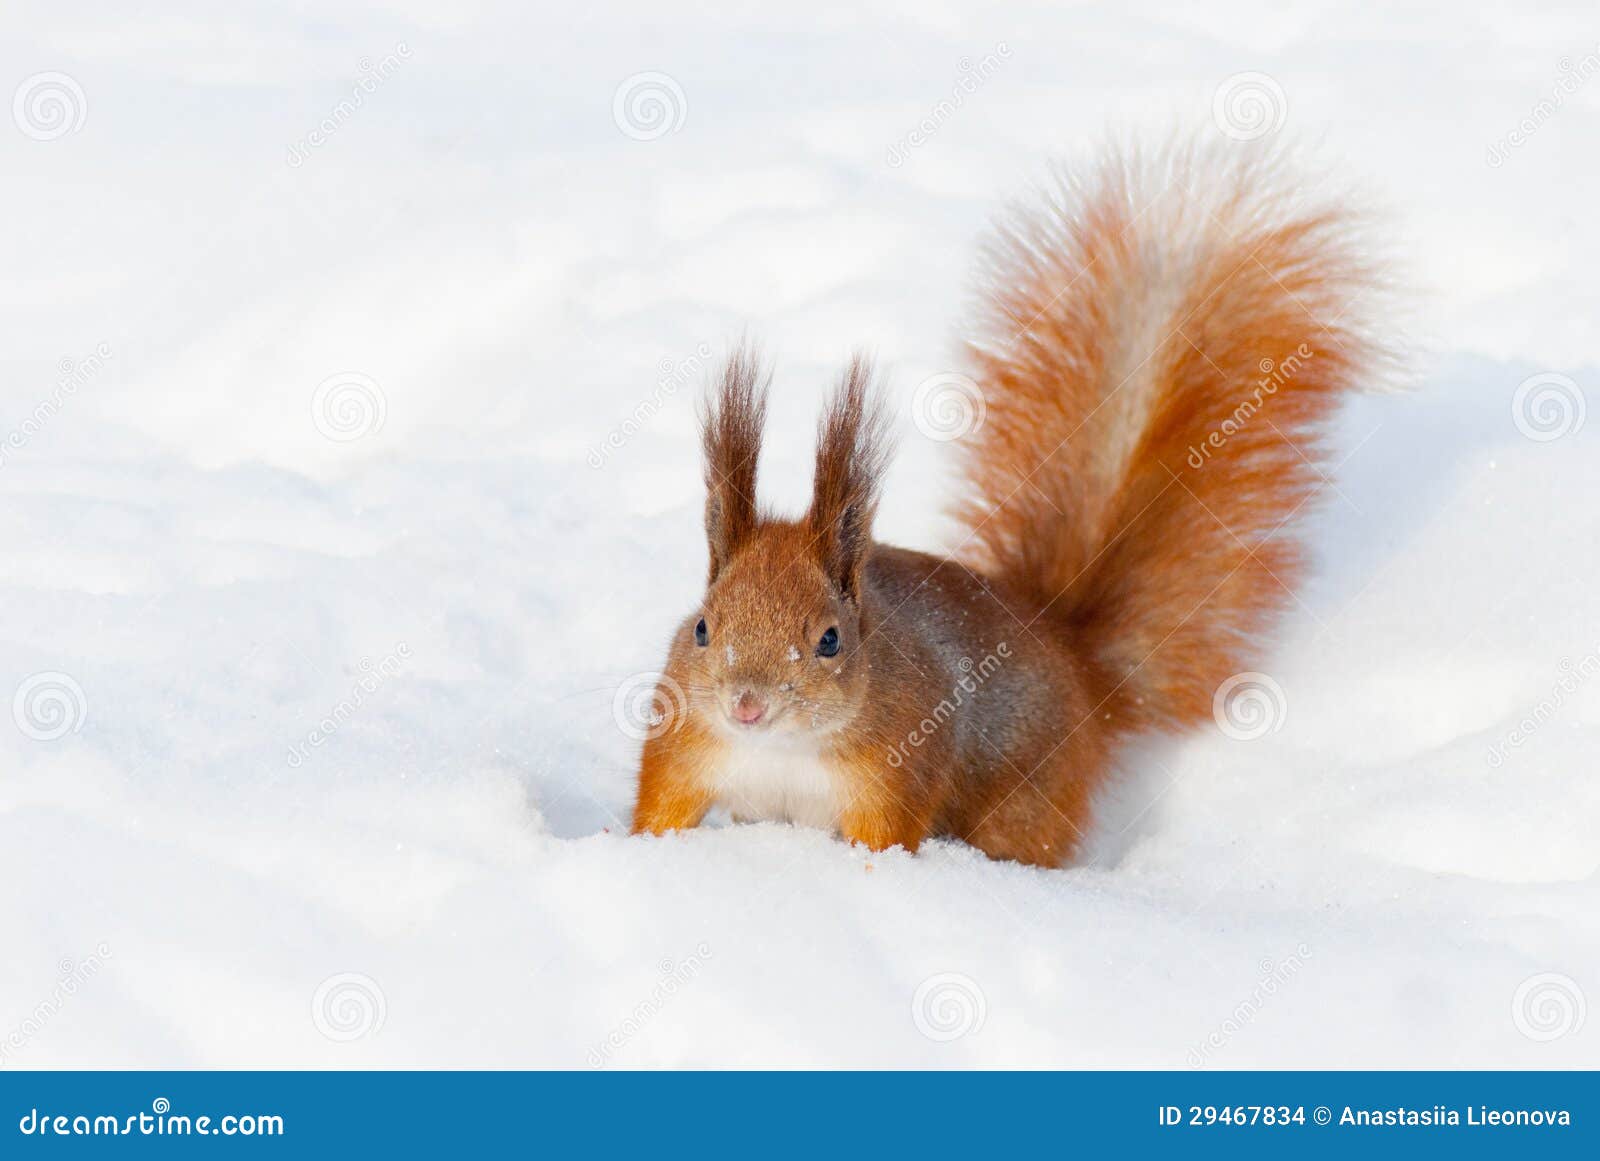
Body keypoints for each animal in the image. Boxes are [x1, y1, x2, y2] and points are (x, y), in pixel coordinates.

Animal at [630, 141, 1386, 867]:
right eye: (702, 627)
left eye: (830, 640)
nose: (746, 706)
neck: (781, 750)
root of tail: (1069, 648)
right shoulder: (686, 748)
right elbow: (663, 805)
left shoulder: (896, 767)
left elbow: (887, 834)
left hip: (1027, 800)